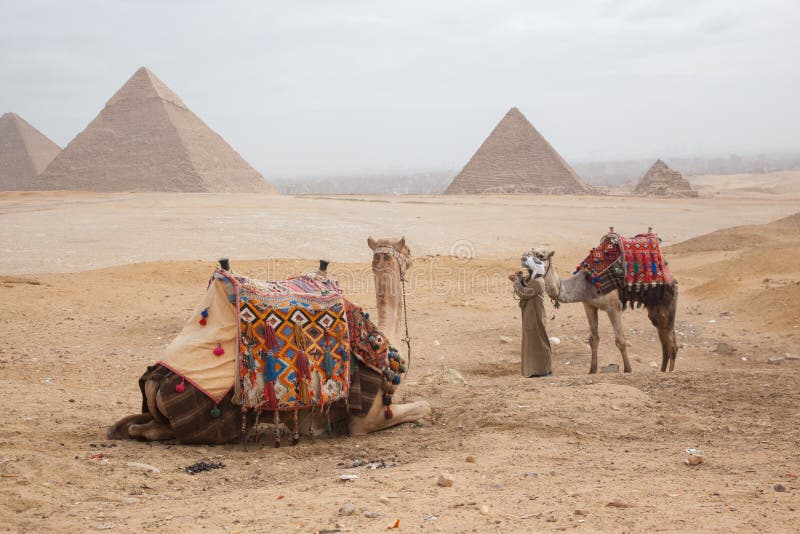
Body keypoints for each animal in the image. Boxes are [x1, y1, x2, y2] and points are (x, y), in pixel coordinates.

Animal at [524, 245, 678, 374]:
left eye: (541, 255)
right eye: (530, 251)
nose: (524, 257)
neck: (585, 284)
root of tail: (671, 275)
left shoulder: (613, 306)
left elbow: (620, 340)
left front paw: (628, 369)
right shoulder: (589, 306)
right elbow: (594, 339)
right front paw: (592, 370)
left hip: (668, 301)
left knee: (670, 339)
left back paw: (670, 371)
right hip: (654, 306)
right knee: (664, 338)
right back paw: (663, 370)